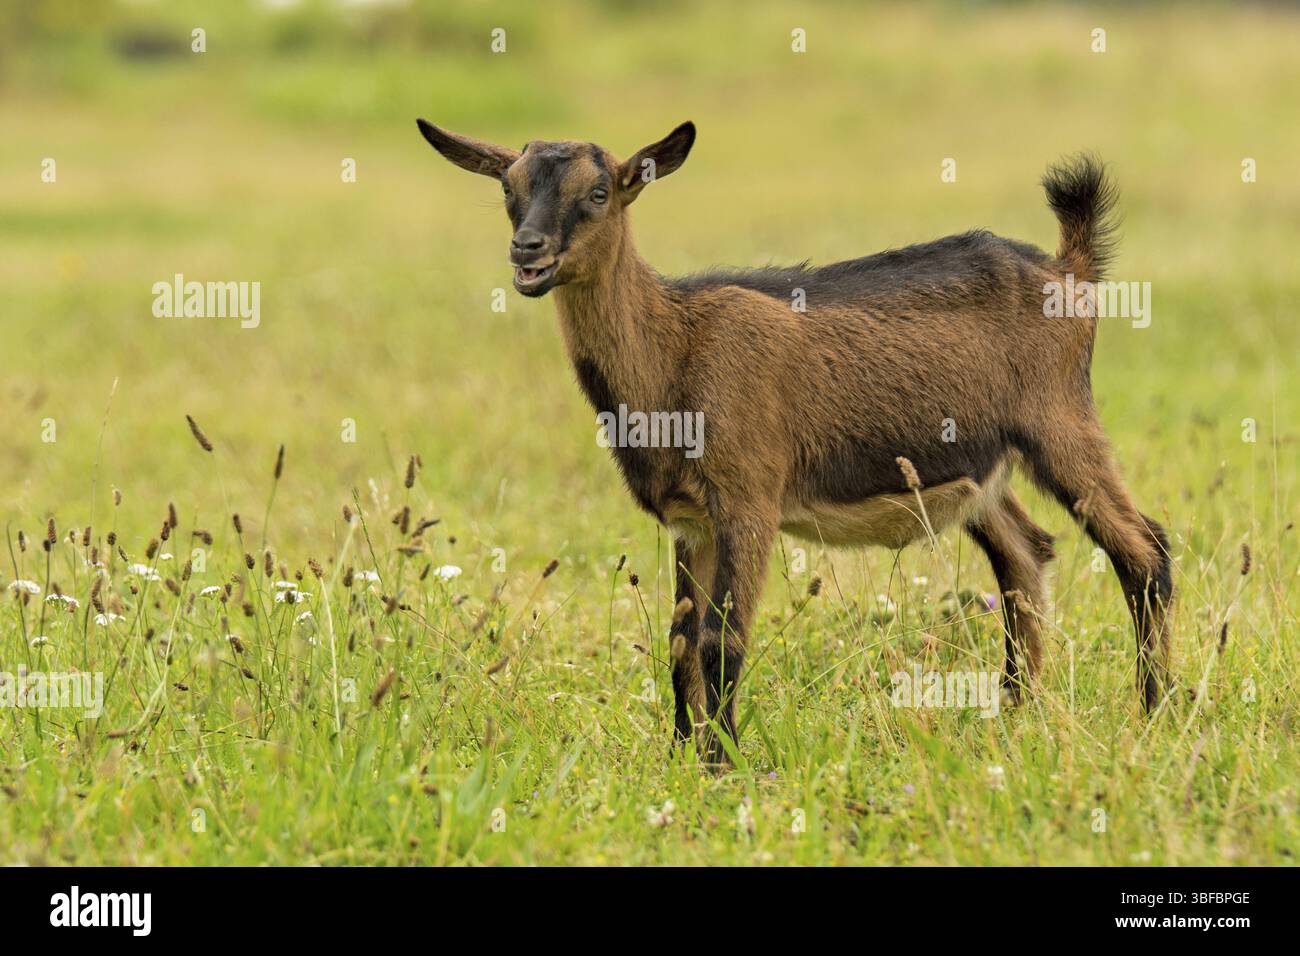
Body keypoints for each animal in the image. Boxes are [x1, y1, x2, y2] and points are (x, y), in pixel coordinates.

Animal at [417, 118, 1174, 765]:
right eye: (508, 188)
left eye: (599, 193)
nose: (528, 252)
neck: (676, 347)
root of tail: (1069, 270)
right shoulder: (691, 521)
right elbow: (679, 641)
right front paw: (680, 757)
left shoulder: (749, 500)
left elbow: (722, 640)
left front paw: (723, 767)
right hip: (981, 472)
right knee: (1025, 555)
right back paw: (1017, 716)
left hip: (1061, 423)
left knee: (1144, 551)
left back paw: (1156, 714)